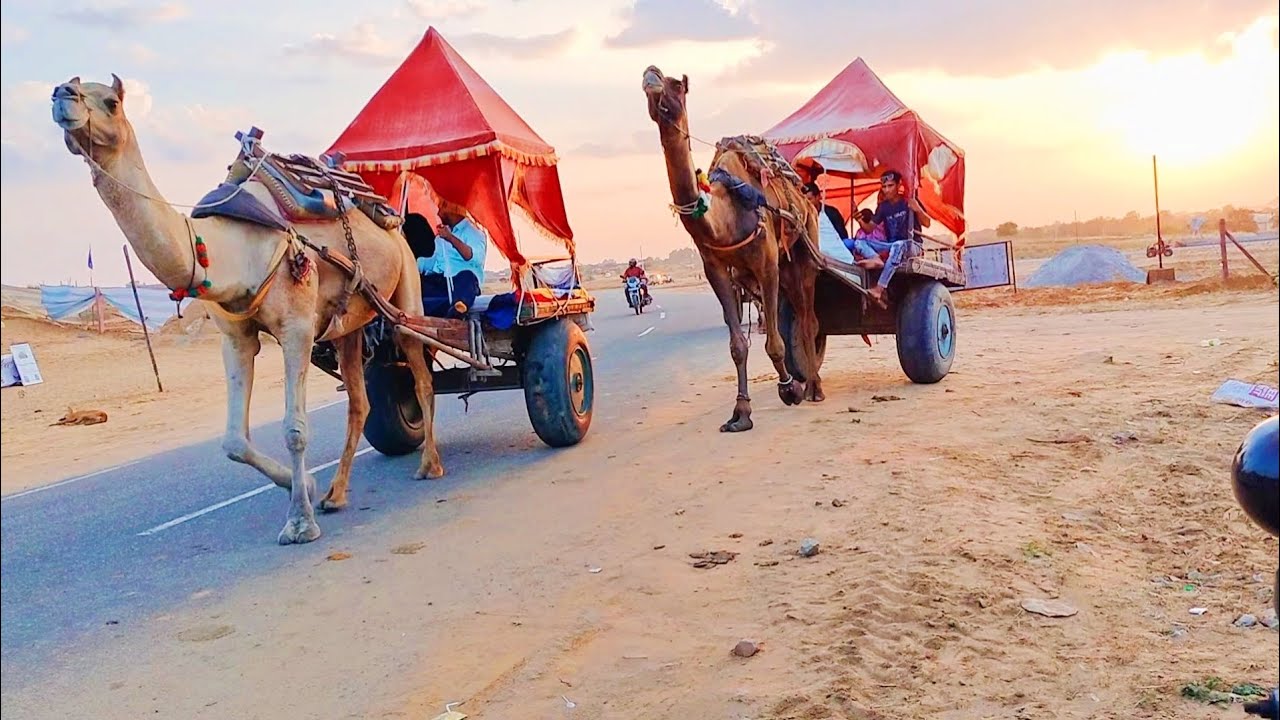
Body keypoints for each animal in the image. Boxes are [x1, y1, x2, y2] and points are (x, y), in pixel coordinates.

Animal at [51, 75, 443, 545]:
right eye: (71, 87)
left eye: (110, 102)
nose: (62, 95)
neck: (223, 251)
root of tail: (388, 215)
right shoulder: (235, 336)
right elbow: (234, 442)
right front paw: (306, 485)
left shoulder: (297, 326)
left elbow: (295, 429)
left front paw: (299, 522)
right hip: (350, 325)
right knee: (359, 402)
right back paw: (336, 494)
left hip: (405, 281)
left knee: (419, 371)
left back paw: (429, 465)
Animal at [642, 66, 825, 432]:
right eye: (648, 80)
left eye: (676, 84)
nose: (650, 74)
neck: (724, 214)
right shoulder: (716, 268)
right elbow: (738, 344)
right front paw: (741, 412)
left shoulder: (766, 262)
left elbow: (775, 343)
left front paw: (789, 389)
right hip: (785, 269)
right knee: (799, 313)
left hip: (805, 251)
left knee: (809, 319)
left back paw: (813, 387)